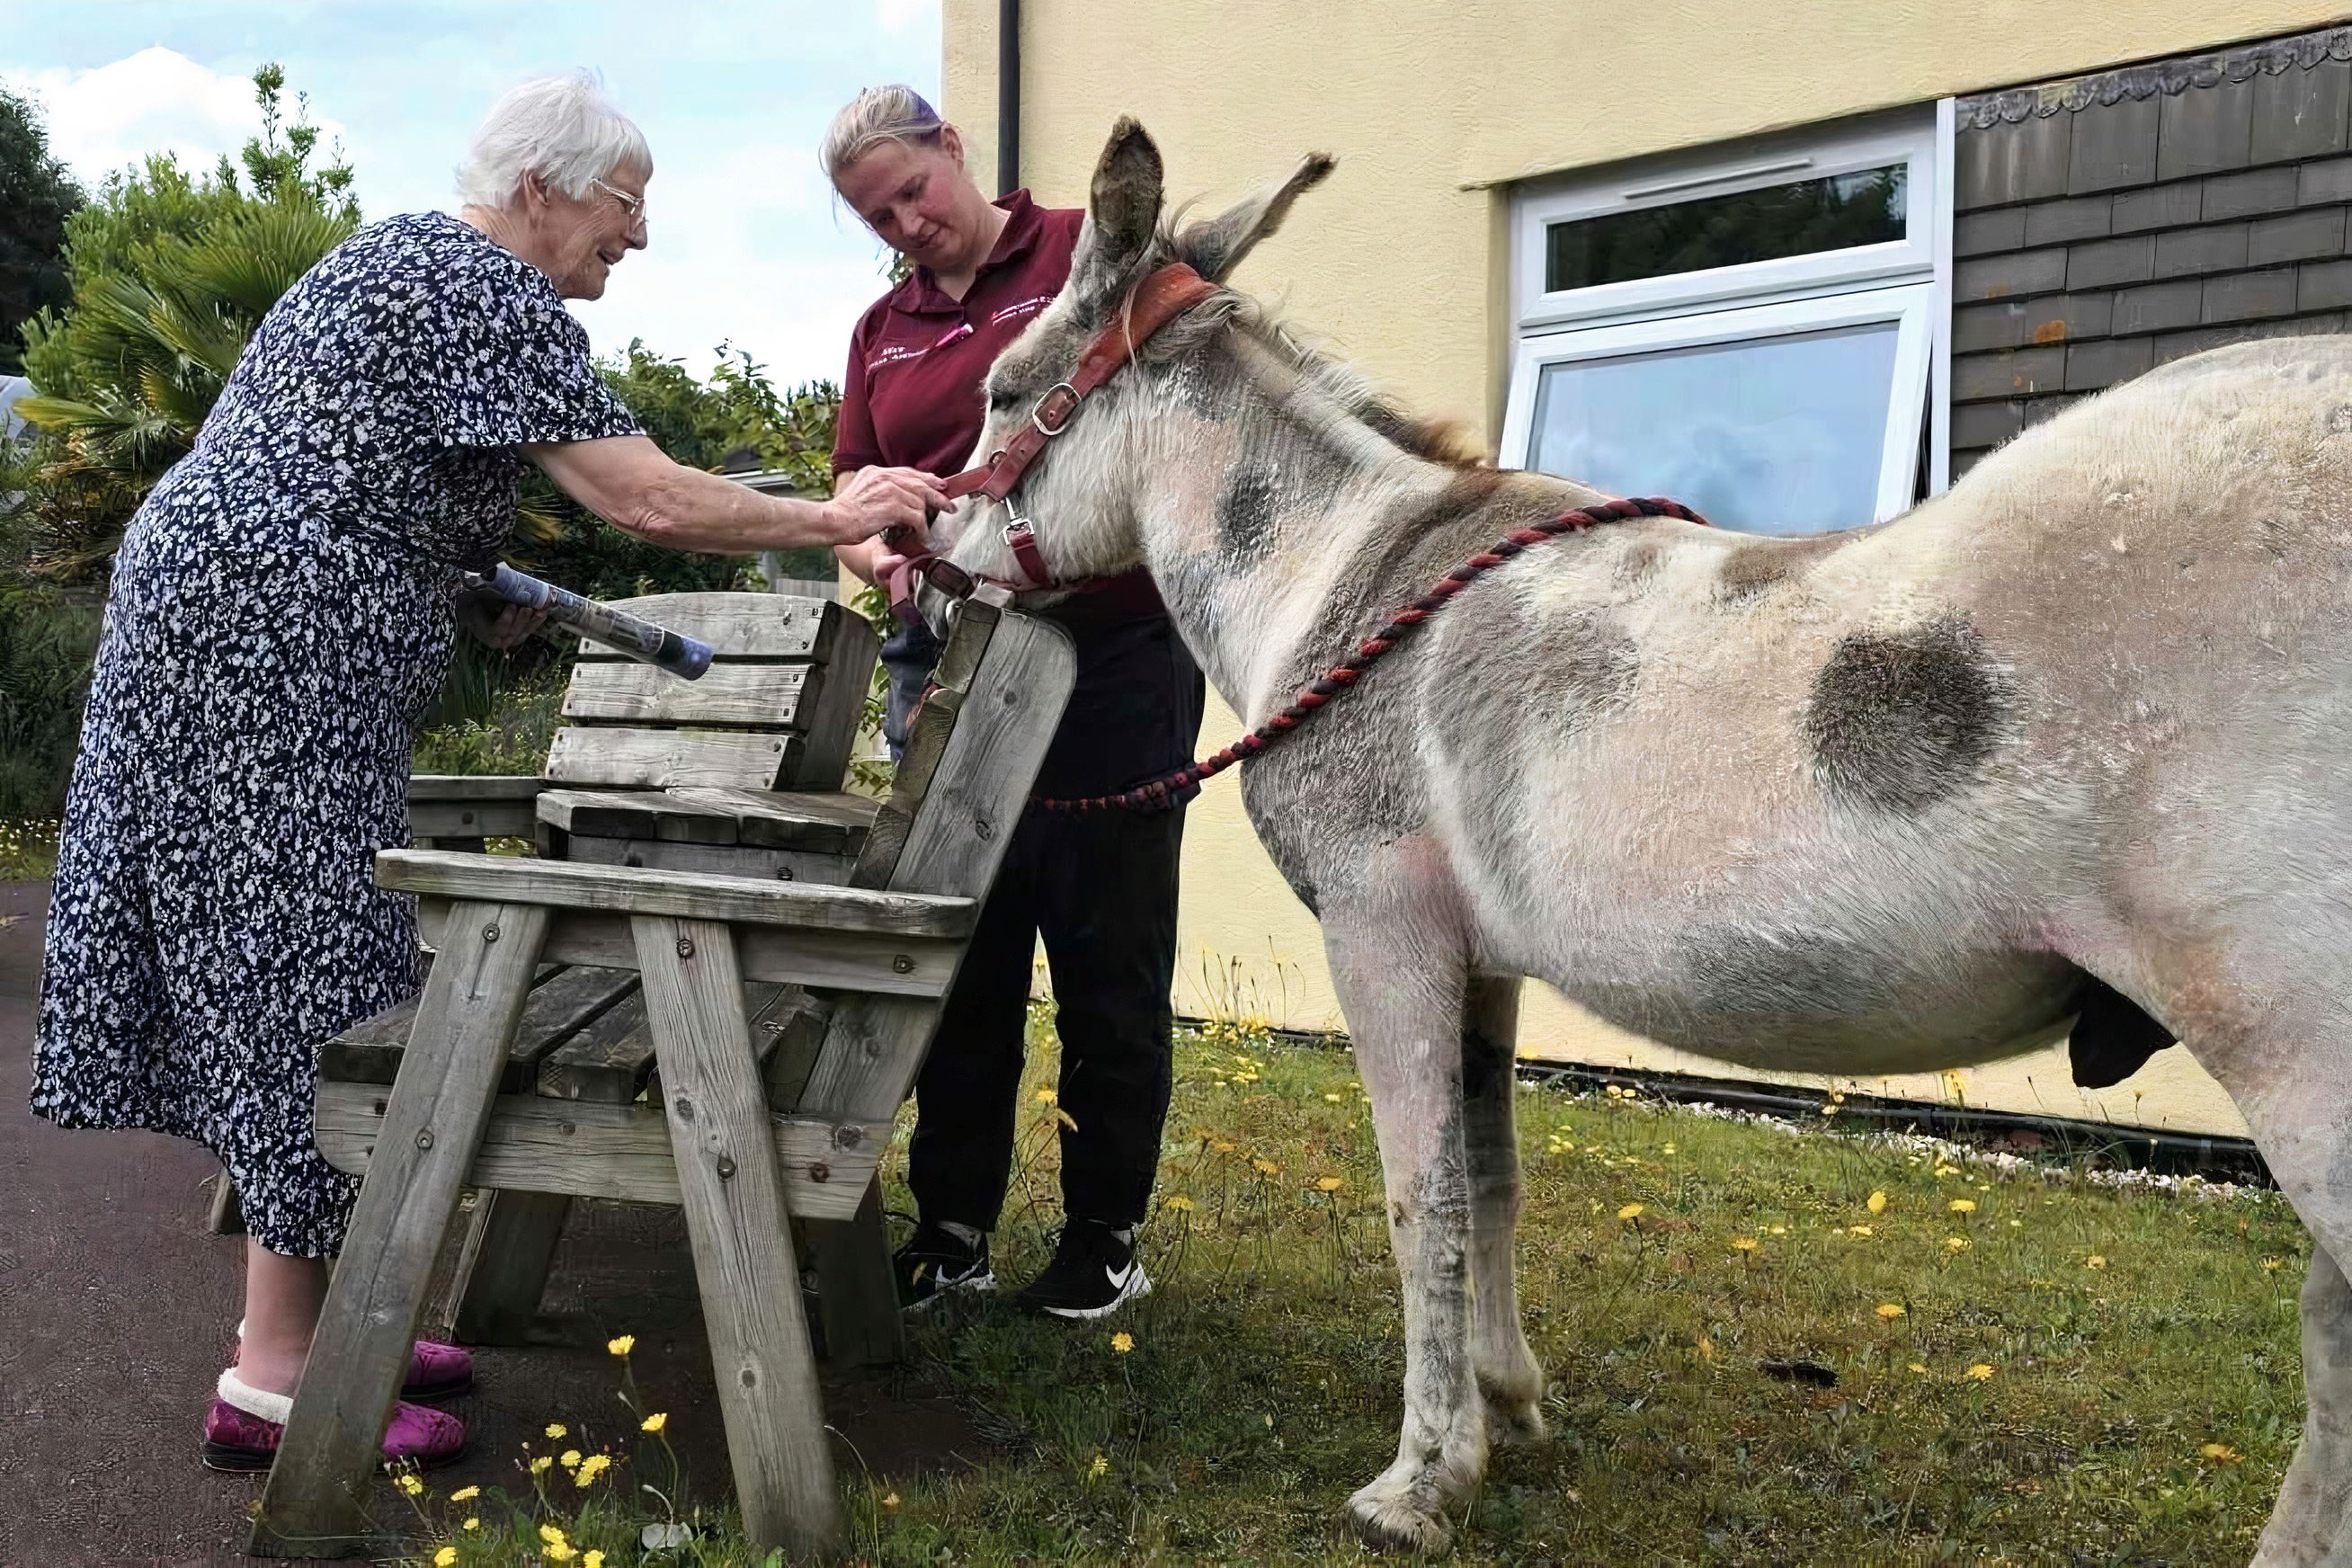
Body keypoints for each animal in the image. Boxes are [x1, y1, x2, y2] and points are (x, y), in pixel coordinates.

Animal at [924, 117, 2352, 1562]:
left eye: (1000, 393)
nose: (929, 571)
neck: (1347, 584)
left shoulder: (1385, 936)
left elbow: (1422, 1200)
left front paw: (1422, 1481)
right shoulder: (1482, 963)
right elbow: (1492, 1178)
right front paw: (1506, 1408)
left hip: (2300, 1055)